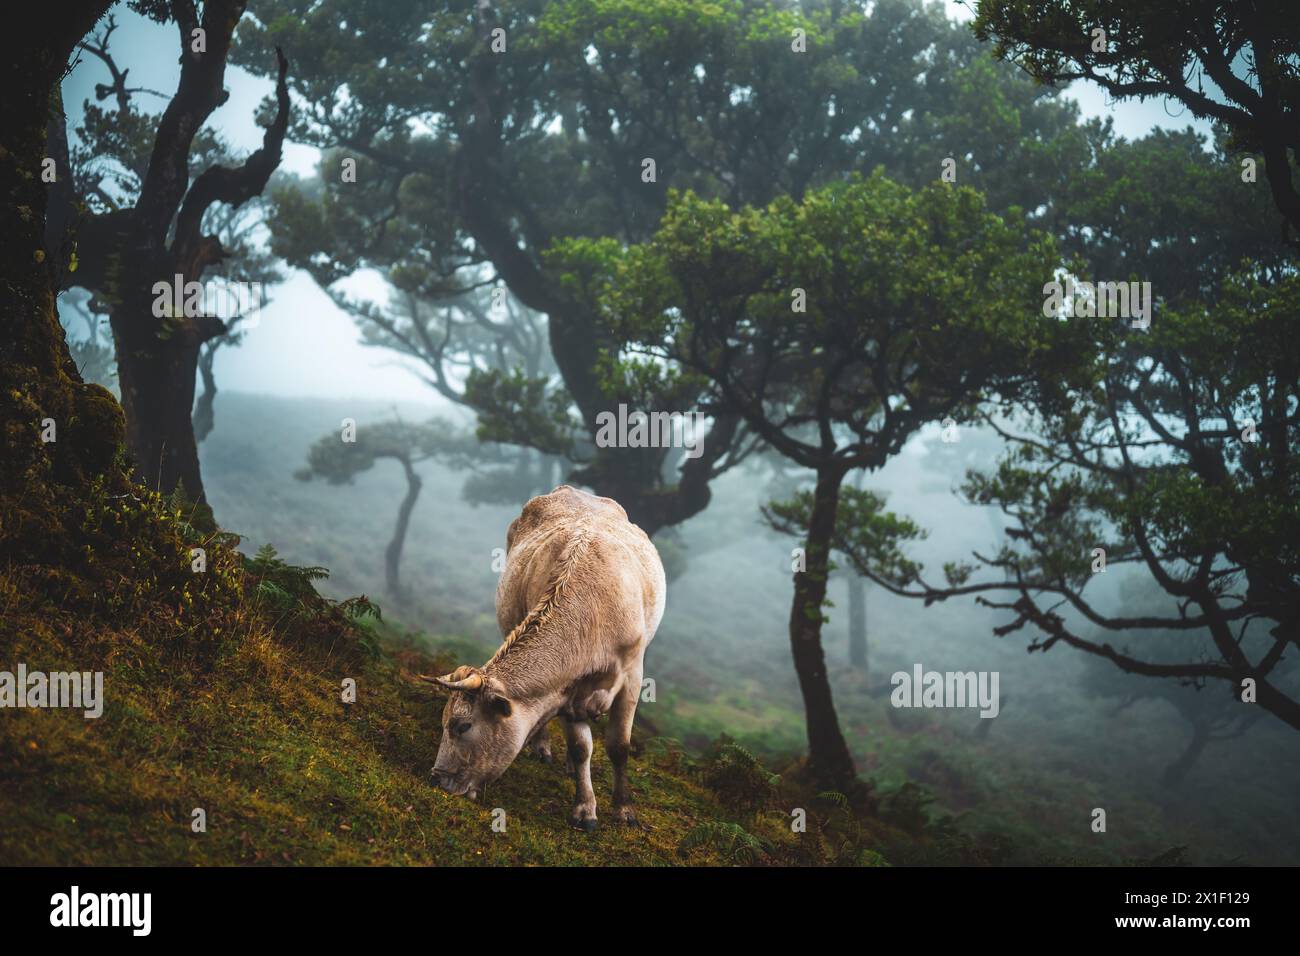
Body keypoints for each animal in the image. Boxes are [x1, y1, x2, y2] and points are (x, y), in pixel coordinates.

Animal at [419, 485, 666, 830]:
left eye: (462, 726)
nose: (437, 778)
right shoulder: (570, 684)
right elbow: (581, 747)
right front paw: (585, 809)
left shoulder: (632, 674)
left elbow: (618, 746)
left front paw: (624, 809)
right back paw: (544, 748)